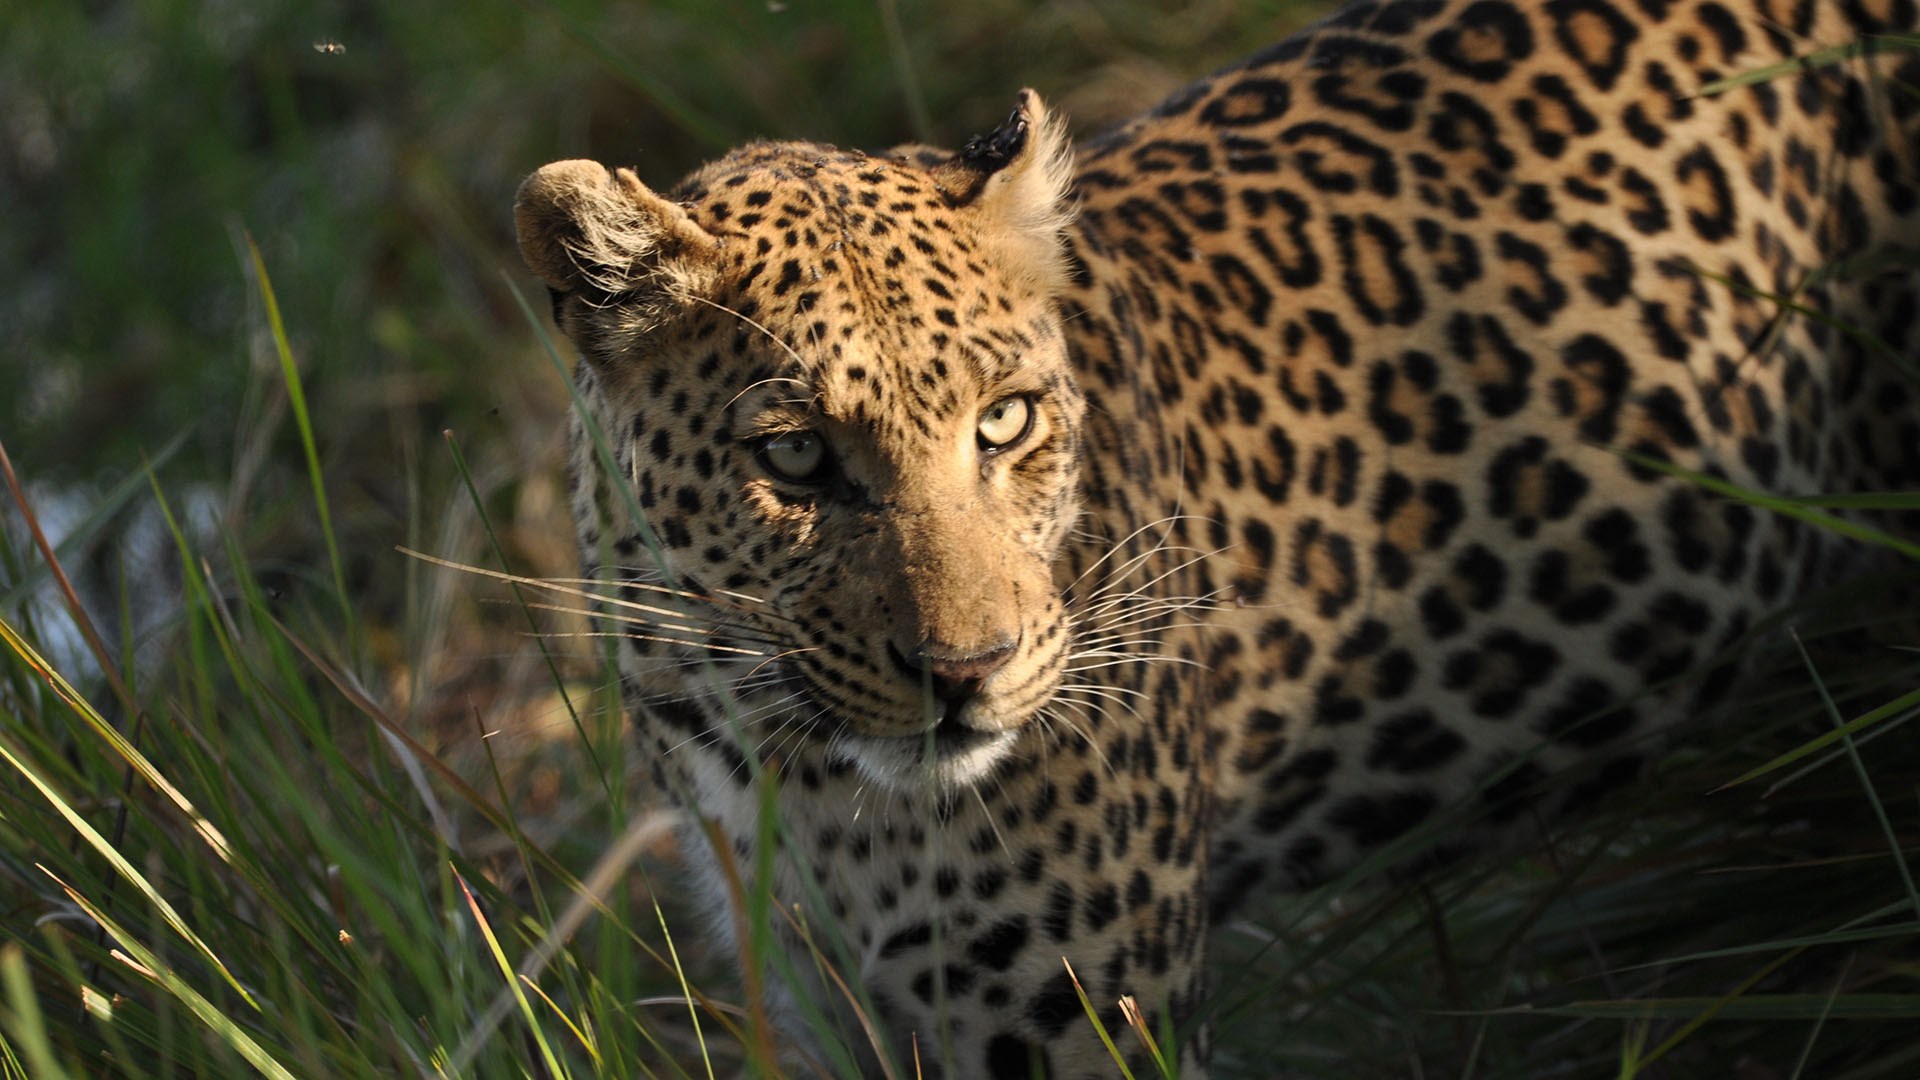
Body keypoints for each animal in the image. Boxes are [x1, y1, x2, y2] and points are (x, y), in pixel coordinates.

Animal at [512, 0, 1920, 1074]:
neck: (783, 759)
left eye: (1004, 420)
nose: (970, 672)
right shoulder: (814, 996)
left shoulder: (1073, 1019)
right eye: (795, 458)